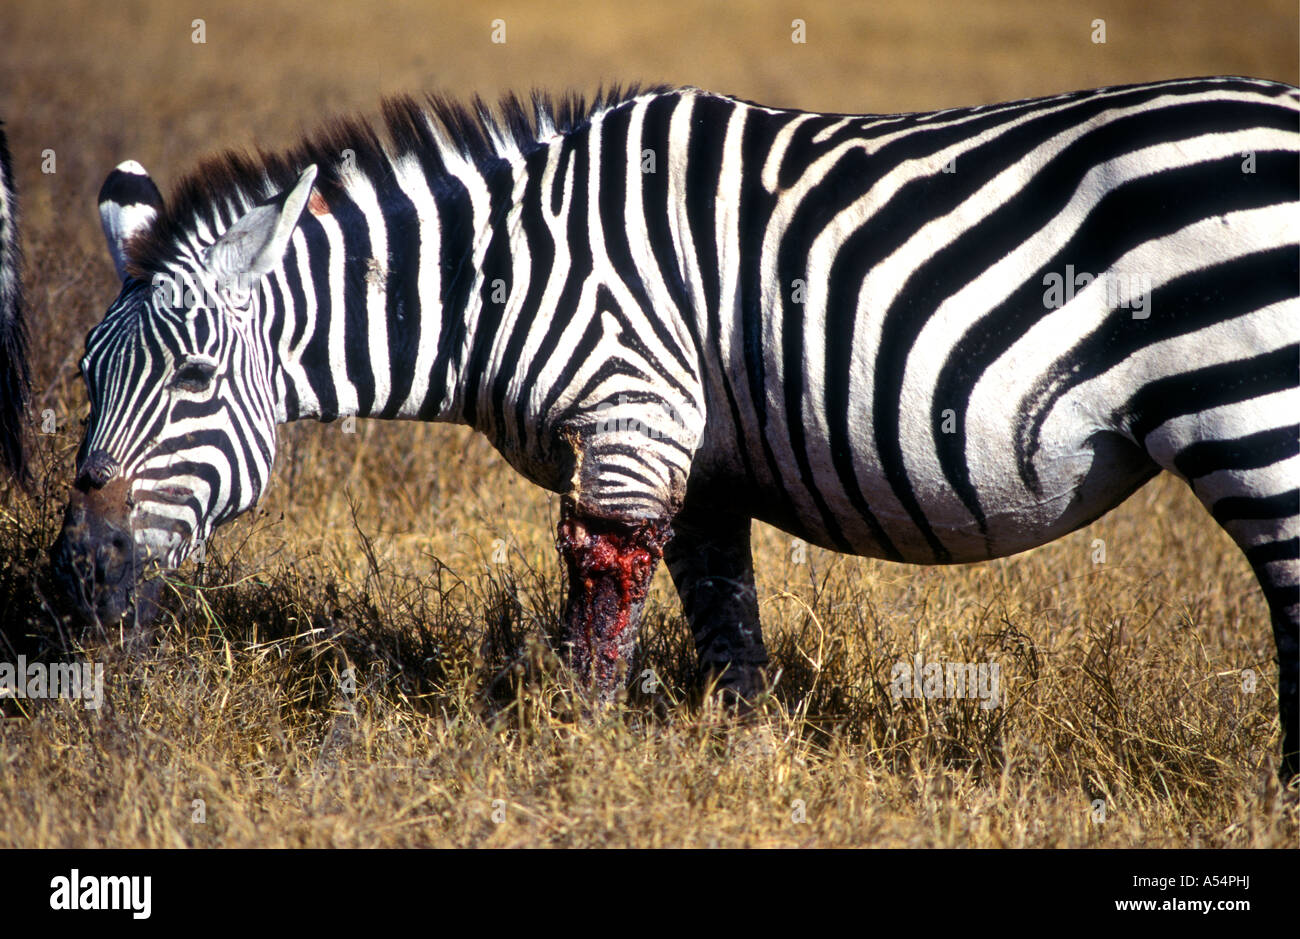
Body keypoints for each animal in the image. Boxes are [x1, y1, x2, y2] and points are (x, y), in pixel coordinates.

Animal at [51, 77, 1298, 777]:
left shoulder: (632, 411)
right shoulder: (698, 455)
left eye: (197, 377)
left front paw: (570, 754)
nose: (76, 583)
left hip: (1252, 407)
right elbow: (722, 611)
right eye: (82, 380)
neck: (505, 276)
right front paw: (744, 761)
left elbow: (603, 588)